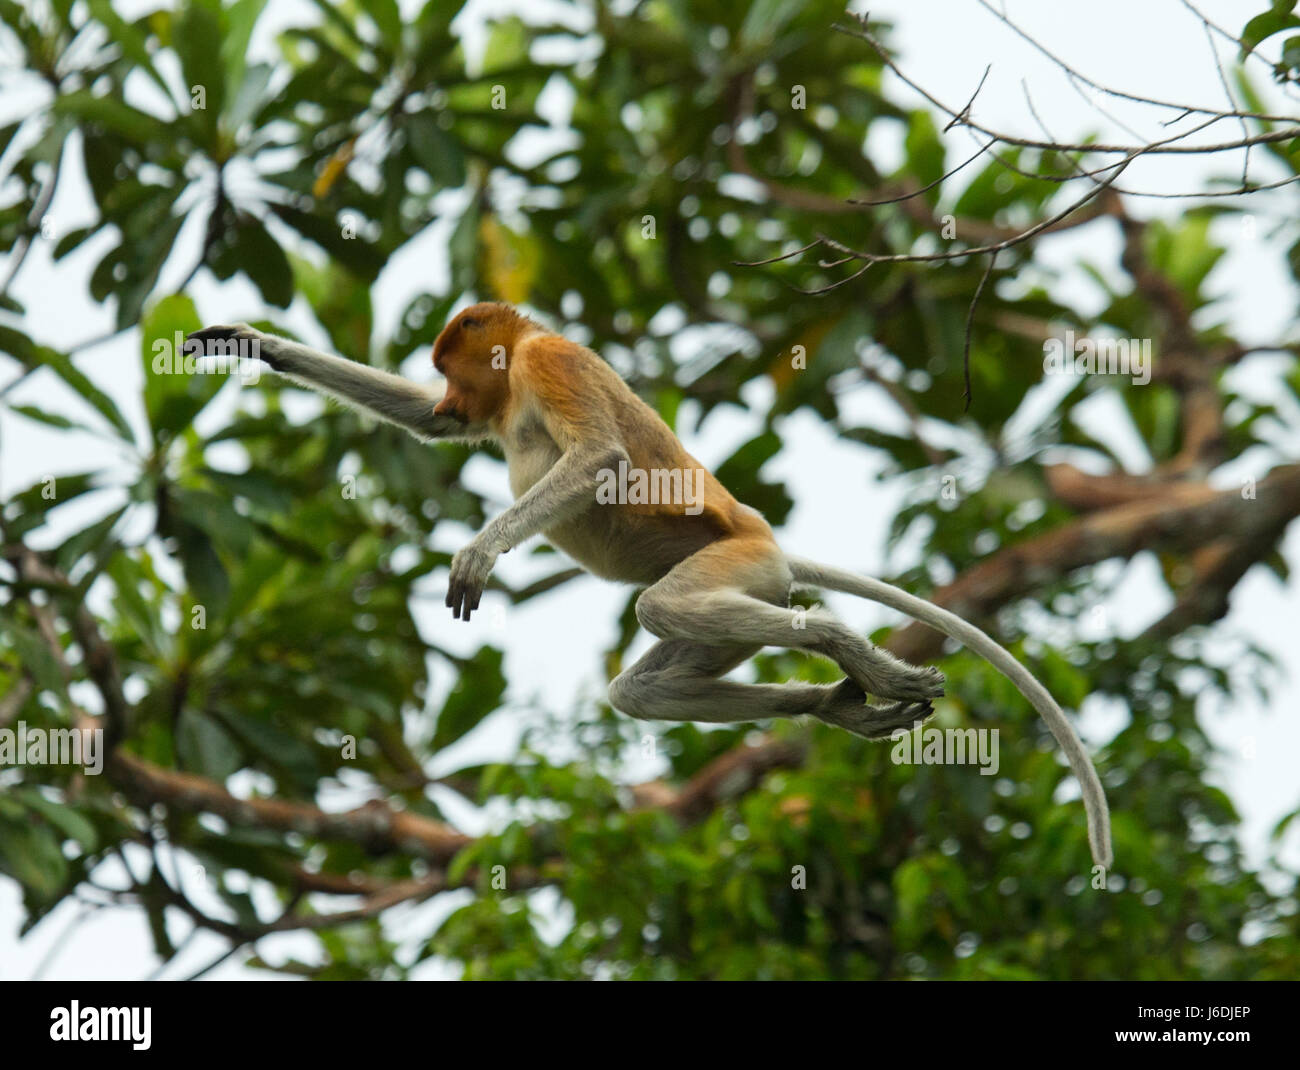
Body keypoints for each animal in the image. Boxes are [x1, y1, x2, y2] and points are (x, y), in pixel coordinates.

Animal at [189, 303, 1112, 868]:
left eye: (457, 368)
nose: (456, 401)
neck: (514, 376)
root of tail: (774, 545)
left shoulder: (550, 361)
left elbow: (598, 457)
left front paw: (476, 556)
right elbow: (419, 423)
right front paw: (247, 341)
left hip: (736, 566)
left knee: (663, 605)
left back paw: (848, 651)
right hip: (744, 599)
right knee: (642, 688)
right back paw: (832, 703)